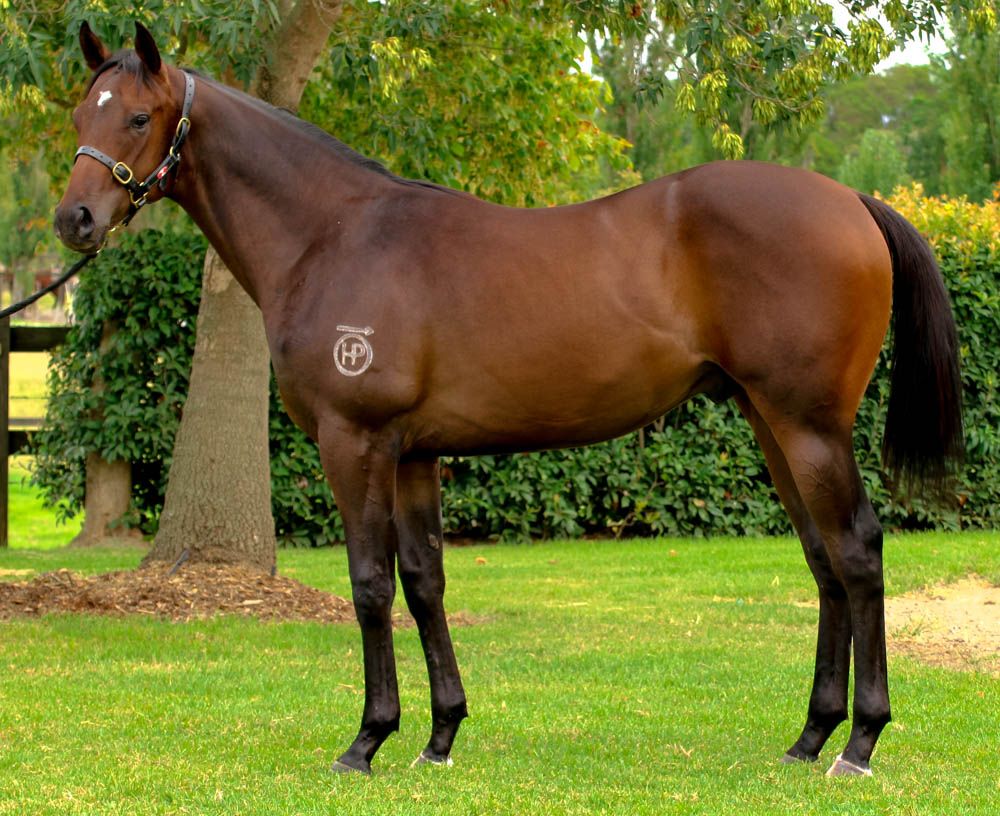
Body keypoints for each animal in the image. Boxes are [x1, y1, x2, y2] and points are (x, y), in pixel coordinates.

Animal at [54, 23, 963, 778]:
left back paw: (860, 743)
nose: (75, 220)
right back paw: (810, 737)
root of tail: (850, 200)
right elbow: (424, 581)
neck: (334, 235)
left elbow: (369, 585)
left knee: (857, 551)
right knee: (823, 560)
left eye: (139, 116)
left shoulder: (356, 441)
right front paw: (439, 735)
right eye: (77, 113)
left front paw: (366, 741)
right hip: (770, 423)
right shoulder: (413, 452)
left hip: (810, 427)